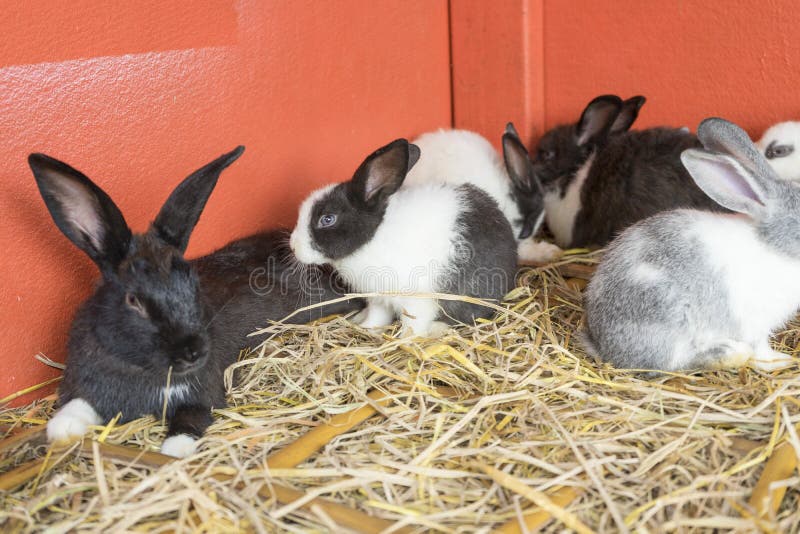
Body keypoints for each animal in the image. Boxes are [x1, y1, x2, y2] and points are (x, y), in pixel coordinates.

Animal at [32, 147, 360, 457]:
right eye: (133, 300)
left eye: (193, 284)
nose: (194, 353)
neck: (146, 370)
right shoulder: (87, 385)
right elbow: (76, 407)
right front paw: (60, 430)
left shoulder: (202, 395)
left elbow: (188, 423)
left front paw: (174, 451)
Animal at [289, 138, 518, 337]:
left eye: (327, 219)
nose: (293, 245)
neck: (374, 236)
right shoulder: (378, 299)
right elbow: (377, 316)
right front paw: (367, 328)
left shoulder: (417, 301)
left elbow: (413, 324)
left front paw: (405, 340)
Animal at [583, 117, 799, 372]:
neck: (773, 244)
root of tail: (601, 344)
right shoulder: (754, 322)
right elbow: (760, 349)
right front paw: (780, 361)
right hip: (670, 320)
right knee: (675, 362)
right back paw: (730, 353)